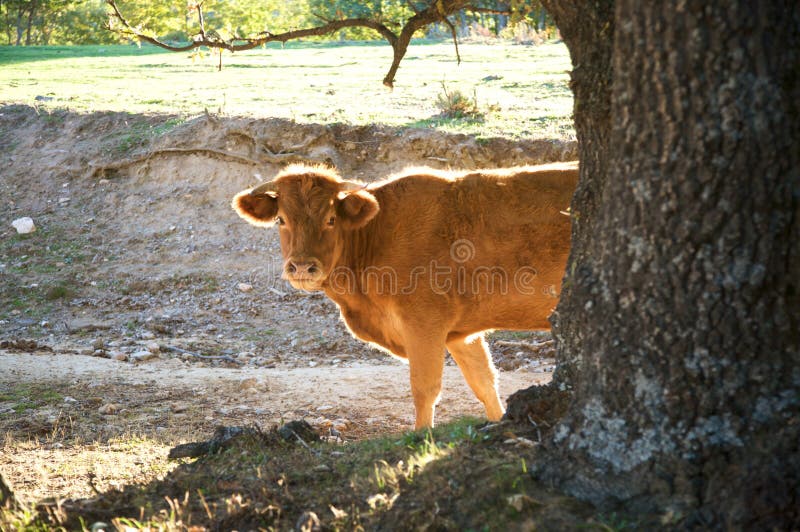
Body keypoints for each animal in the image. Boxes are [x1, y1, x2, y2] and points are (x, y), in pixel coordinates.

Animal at [232, 162, 577, 428]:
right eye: (281, 219)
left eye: (330, 219)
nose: (302, 266)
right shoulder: (461, 334)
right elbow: (484, 383)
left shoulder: (424, 325)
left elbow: (425, 388)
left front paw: (422, 436)